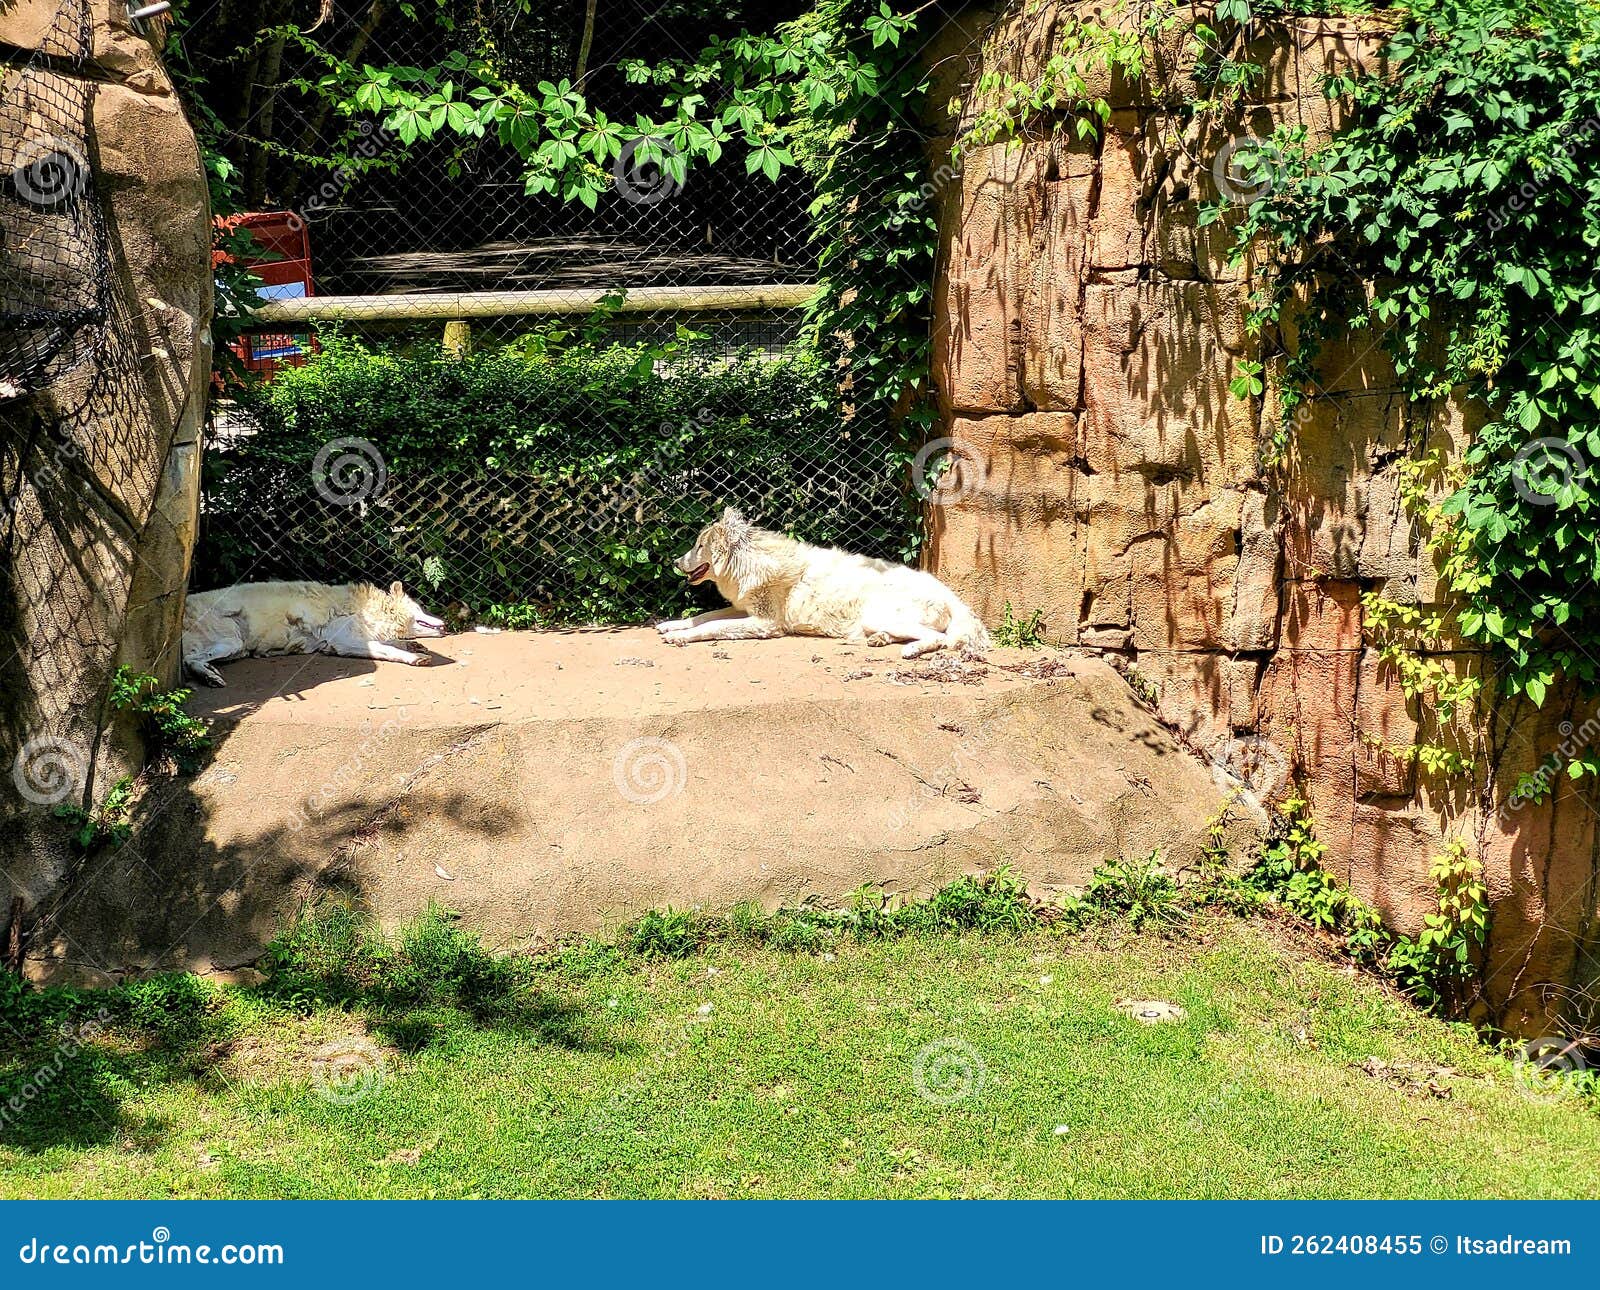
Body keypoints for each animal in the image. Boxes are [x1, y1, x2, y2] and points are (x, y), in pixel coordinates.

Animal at [182, 580, 447, 686]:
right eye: (420, 608)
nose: (444, 623)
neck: (370, 609)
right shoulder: (346, 642)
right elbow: (387, 649)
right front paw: (415, 657)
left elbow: (395, 643)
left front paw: (414, 646)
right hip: (232, 641)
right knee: (189, 660)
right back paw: (209, 677)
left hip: (236, 649)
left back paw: (211, 674)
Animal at [659, 508, 990, 659]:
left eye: (698, 547)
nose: (674, 562)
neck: (751, 562)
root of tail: (952, 595)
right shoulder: (743, 608)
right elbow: (704, 616)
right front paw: (670, 626)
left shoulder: (766, 624)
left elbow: (712, 626)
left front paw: (680, 637)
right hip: (874, 621)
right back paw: (879, 640)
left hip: (876, 614)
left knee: (939, 639)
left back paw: (909, 650)